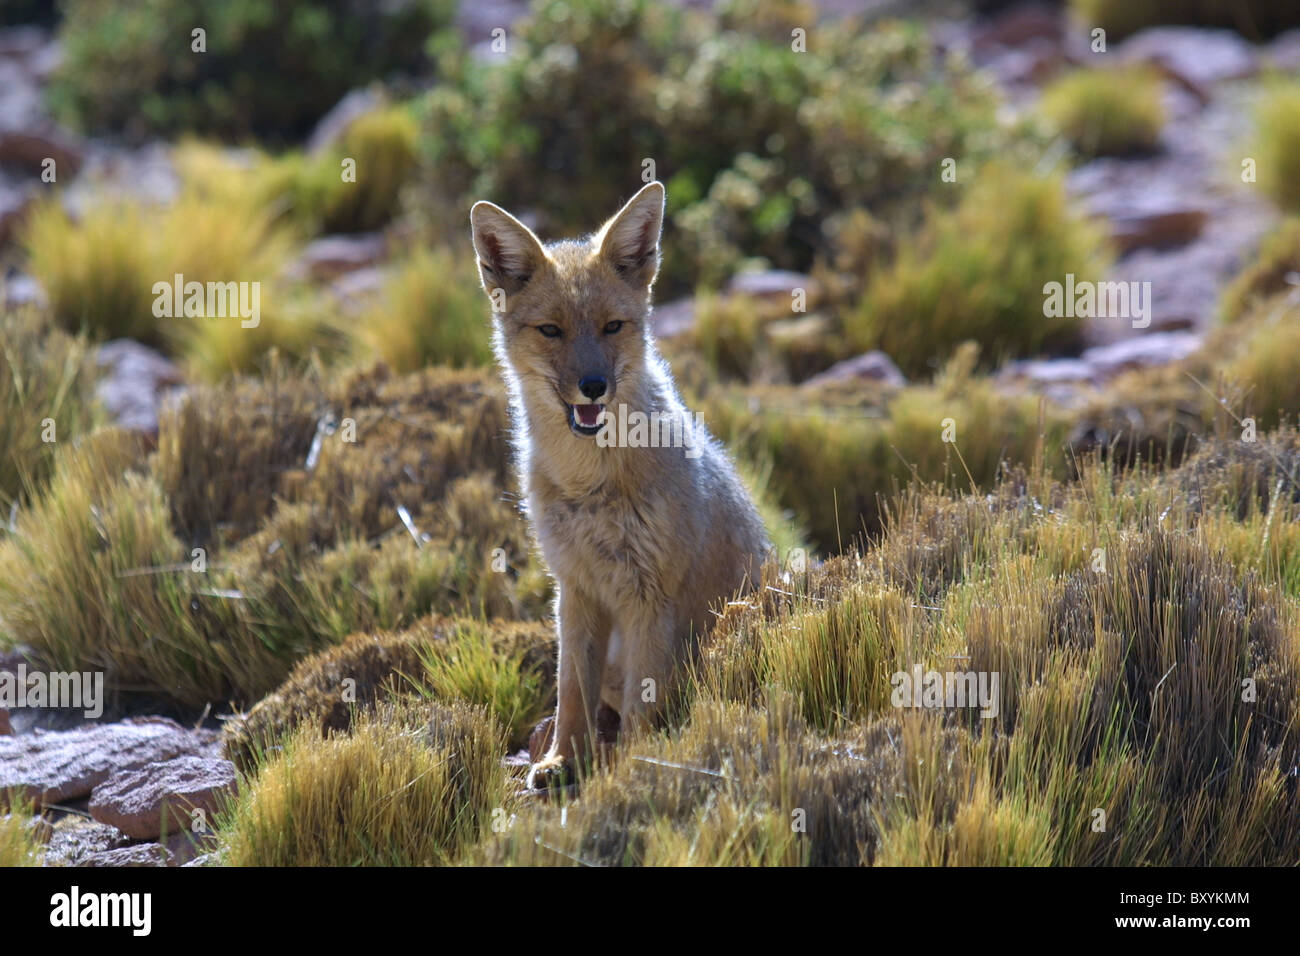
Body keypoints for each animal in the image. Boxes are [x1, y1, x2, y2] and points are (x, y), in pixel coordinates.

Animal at [469, 181, 771, 789]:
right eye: (551, 330)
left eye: (613, 326)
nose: (593, 386)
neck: (589, 482)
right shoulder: (575, 588)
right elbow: (570, 693)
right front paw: (561, 759)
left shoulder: (647, 597)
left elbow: (640, 704)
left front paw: (630, 773)